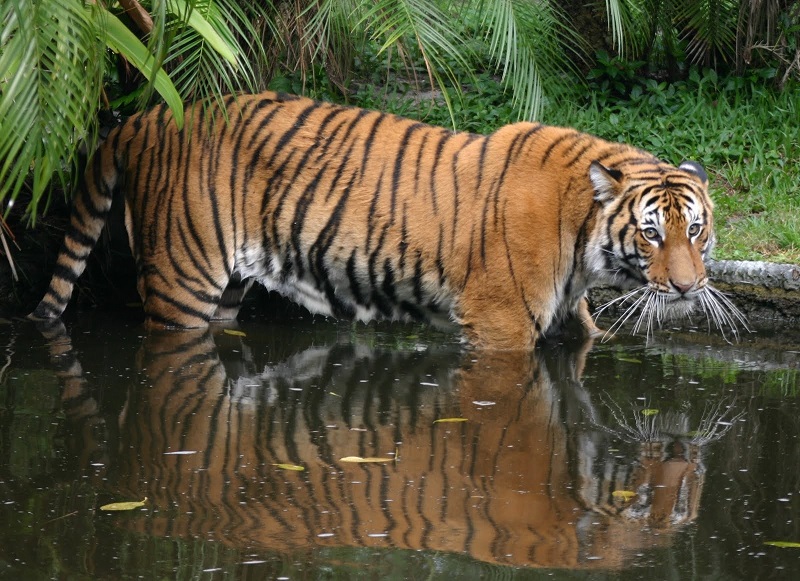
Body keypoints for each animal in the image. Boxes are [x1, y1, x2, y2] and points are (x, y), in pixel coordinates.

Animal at [30, 91, 743, 349]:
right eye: (651, 233)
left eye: (695, 230)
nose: (688, 287)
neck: (582, 239)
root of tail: (147, 117)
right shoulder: (500, 326)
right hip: (181, 281)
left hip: (227, 289)